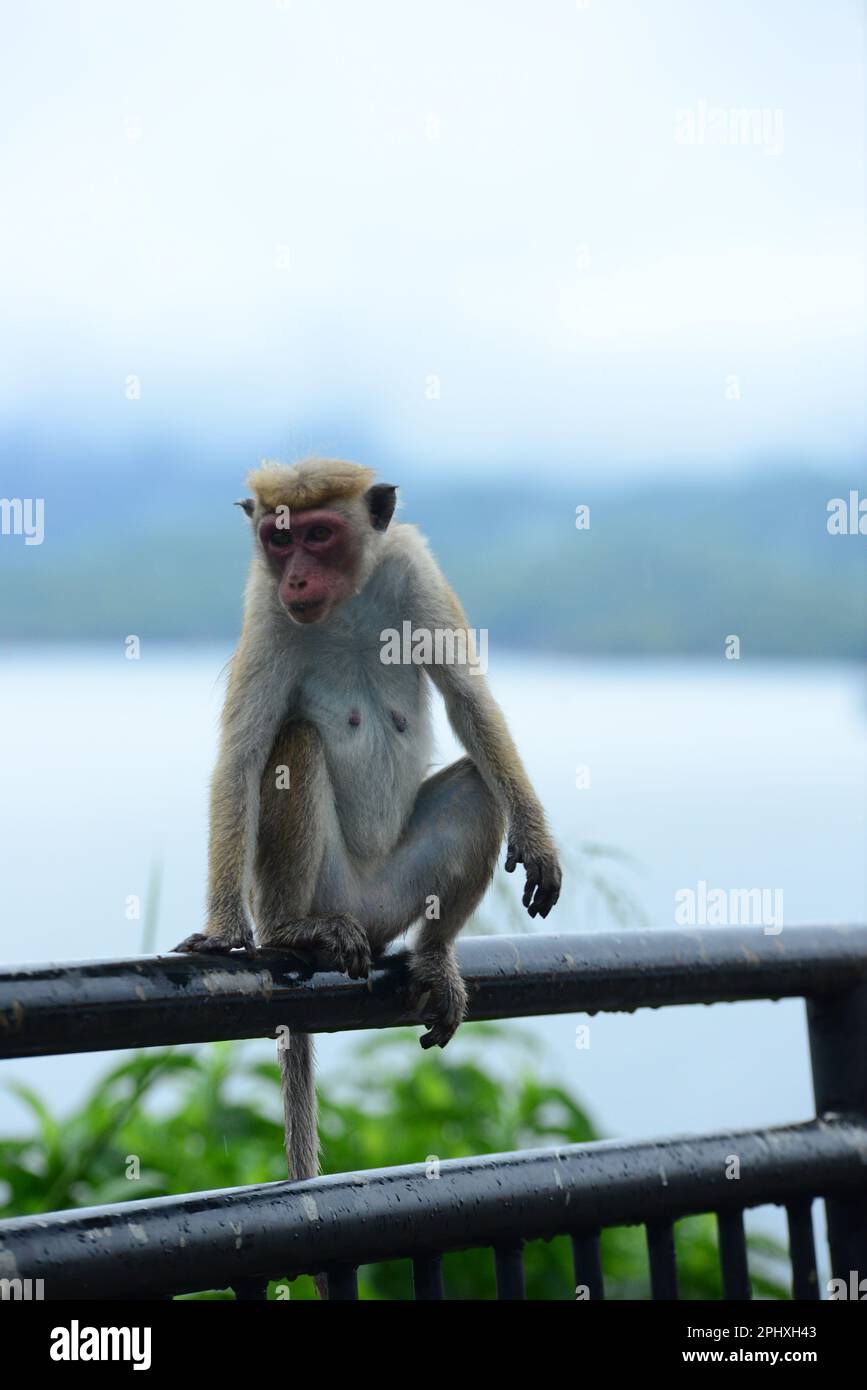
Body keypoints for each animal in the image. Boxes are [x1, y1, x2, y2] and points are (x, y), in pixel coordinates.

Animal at [174, 457, 561, 1189]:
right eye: (278, 538)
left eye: (318, 535)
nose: (296, 577)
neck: (346, 599)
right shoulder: (265, 607)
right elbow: (242, 757)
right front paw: (223, 932)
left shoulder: (414, 570)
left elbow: (469, 699)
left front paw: (536, 838)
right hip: (314, 888)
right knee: (295, 744)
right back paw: (299, 932)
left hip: (393, 895)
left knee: (477, 785)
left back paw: (434, 956)